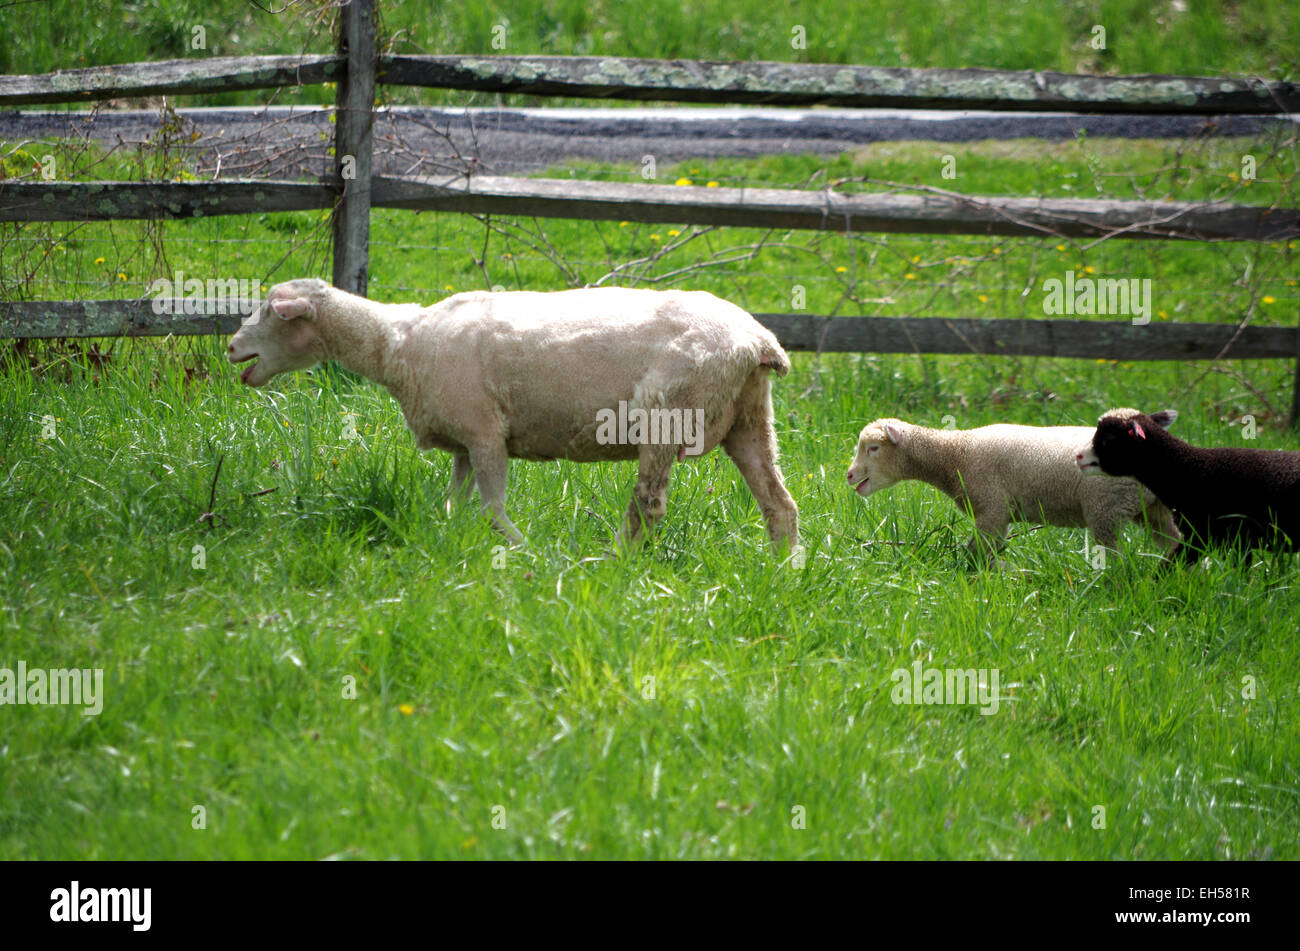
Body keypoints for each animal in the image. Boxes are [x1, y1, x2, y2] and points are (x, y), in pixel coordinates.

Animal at [227, 278, 799, 552]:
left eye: (270, 312)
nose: (231, 347)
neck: (400, 344)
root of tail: (758, 340)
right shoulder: (461, 441)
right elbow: (455, 506)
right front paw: (451, 542)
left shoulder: (485, 432)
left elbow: (492, 509)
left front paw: (528, 552)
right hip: (749, 418)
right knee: (780, 505)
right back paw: (785, 570)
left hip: (666, 413)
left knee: (648, 508)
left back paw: (614, 562)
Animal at [846, 417, 1181, 559]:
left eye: (873, 448)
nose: (849, 475)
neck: (955, 453)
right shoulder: (999, 515)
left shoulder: (991, 510)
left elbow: (976, 554)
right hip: (1152, 509)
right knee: (1178, 541)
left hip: (1105, 508)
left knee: (1114, 556)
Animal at [1075, 408, 1300, 564]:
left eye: (1108, 440)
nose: (1078, 456)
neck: (1189, 472)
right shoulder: (1233, 541)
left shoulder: (1203, 535)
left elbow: (1167, 568)